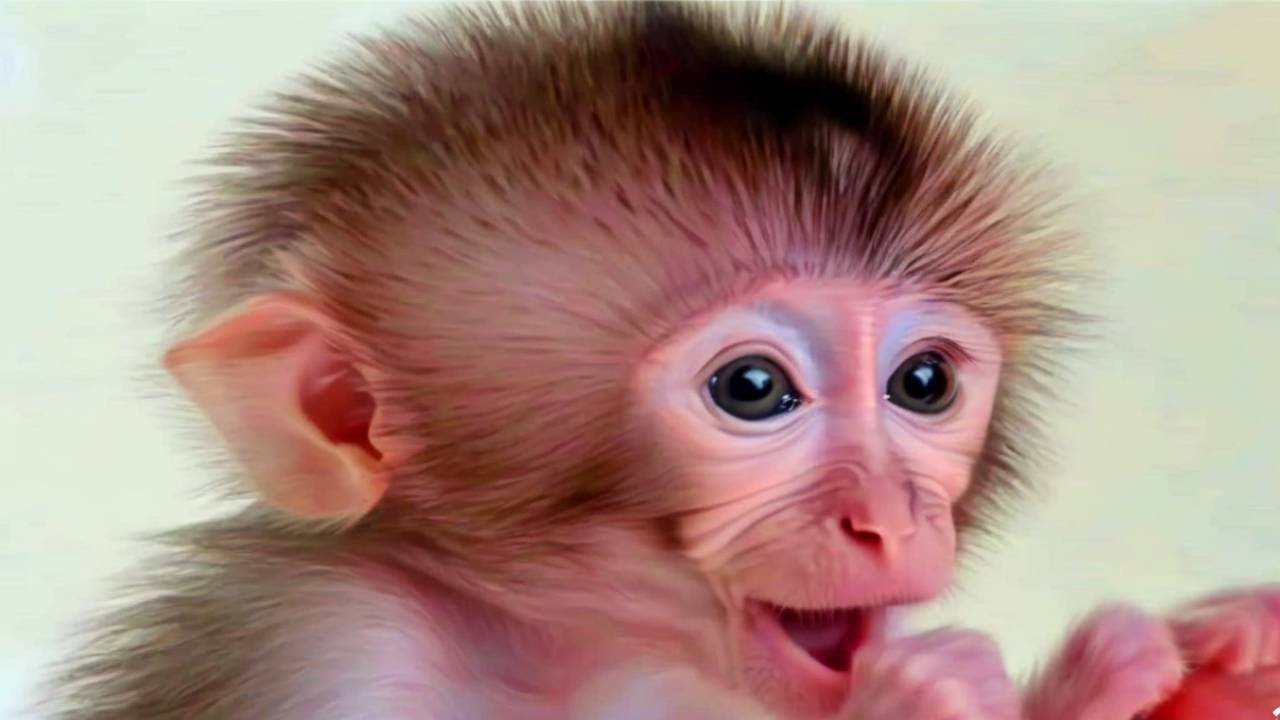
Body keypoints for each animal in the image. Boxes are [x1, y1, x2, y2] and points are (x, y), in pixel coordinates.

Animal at [38, 3, 1280, 719]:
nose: (889, 517)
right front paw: (930, 694)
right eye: (752, 390)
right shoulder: (324, 654)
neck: (577, 652)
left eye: (922, 383)